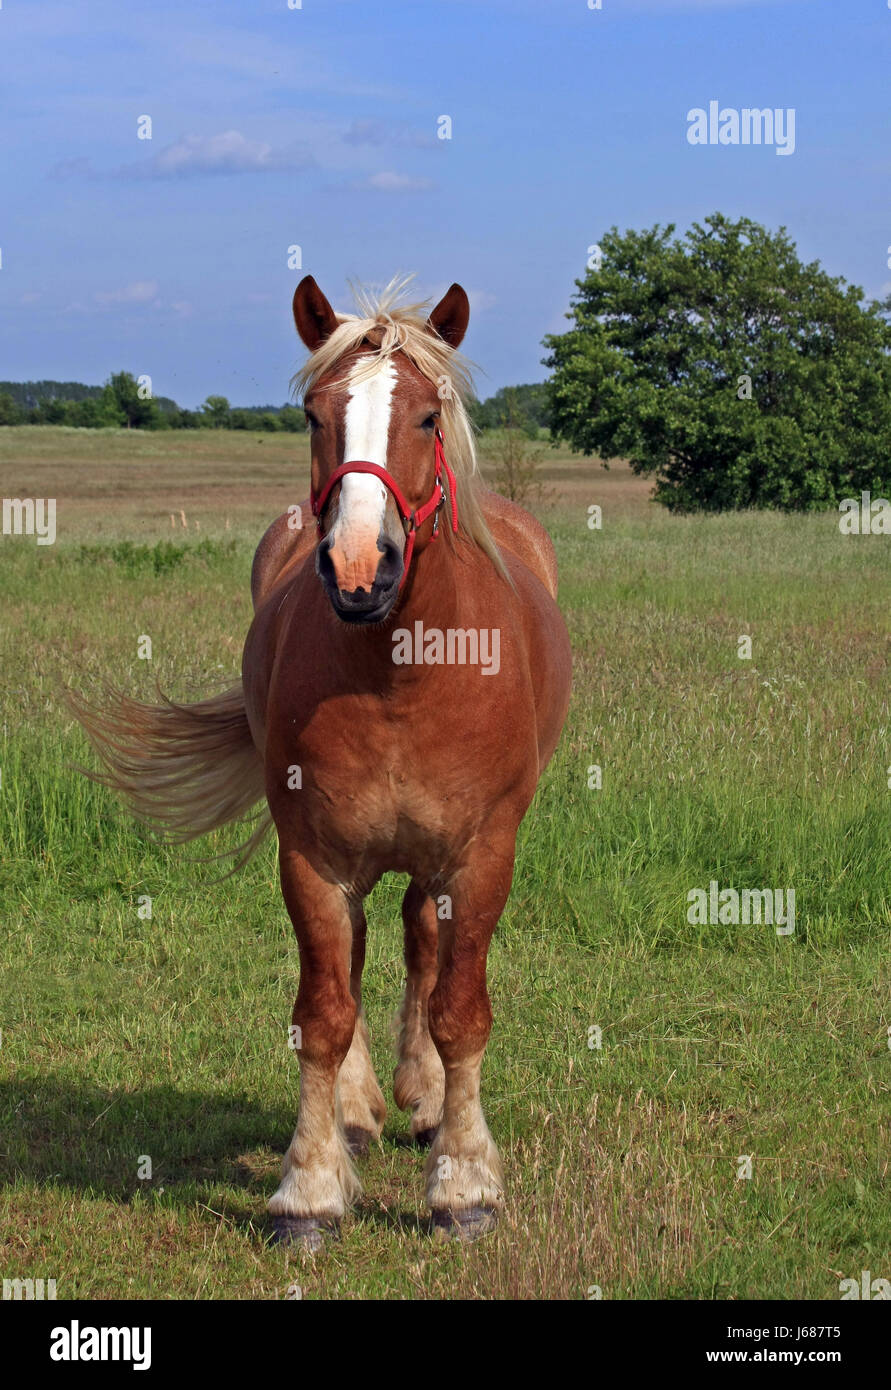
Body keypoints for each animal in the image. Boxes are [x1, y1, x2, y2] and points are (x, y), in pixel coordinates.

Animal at [72, 275, 572, 1245]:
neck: (399, 672)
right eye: (313, 414)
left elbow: (460, 1011)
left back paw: (424, 1104)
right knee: (371, 949)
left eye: (427, 415)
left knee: (420, 943)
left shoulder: (480, 856)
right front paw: (308, 1187)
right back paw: (359, 1109)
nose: (356, 567)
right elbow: (323, 1011)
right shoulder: (311, 858)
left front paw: (464, 1184)